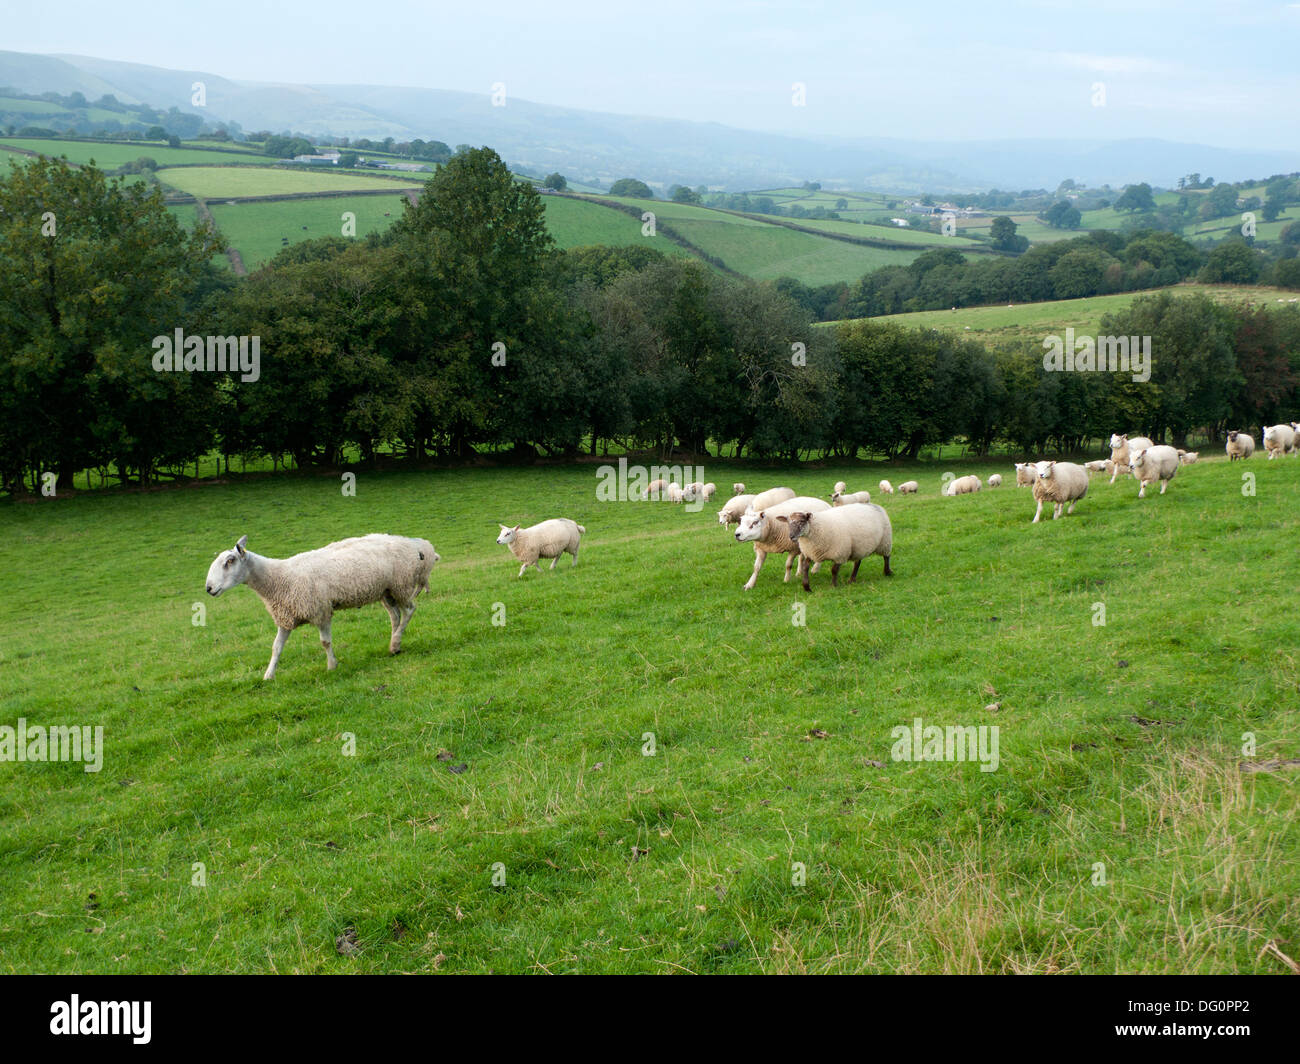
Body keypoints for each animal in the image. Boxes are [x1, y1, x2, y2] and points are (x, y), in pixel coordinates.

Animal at [204, 533, 438, 681]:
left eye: (230, 561)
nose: (208, 588)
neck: (278, 579)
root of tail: (411, 543)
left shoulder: (321, 611)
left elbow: (325, 642)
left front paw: (332, 666)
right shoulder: (286, 617)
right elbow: (276, 648)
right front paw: (268, 675)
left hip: (400, 584)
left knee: (409, 610)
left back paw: (396, 641)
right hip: (386, 591)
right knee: (395, 615)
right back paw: (394, 645)